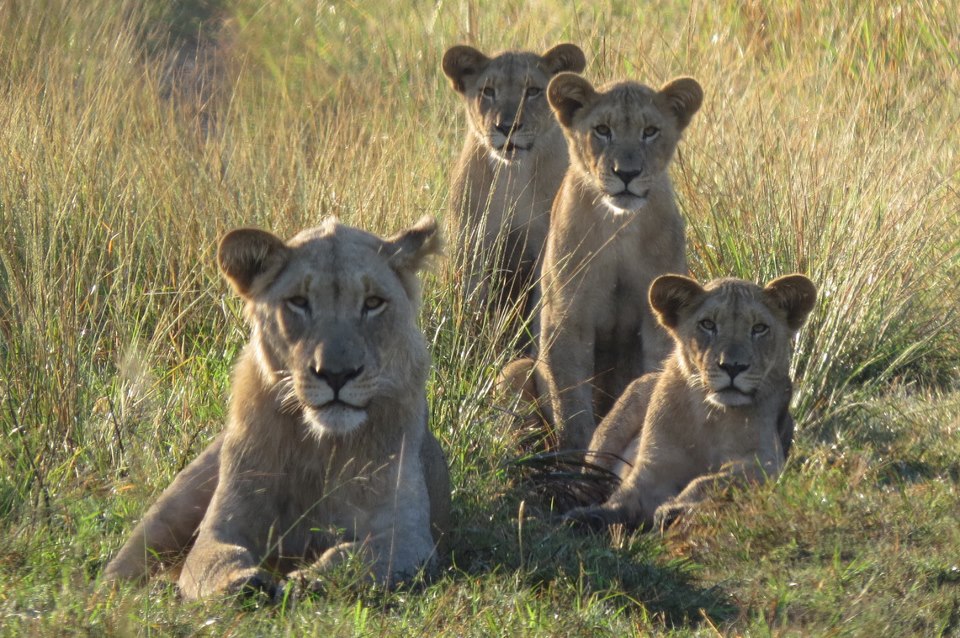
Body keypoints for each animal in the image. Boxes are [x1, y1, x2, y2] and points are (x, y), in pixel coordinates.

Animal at [103, 217, 451, 601]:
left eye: (373, 302)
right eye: (298, 302)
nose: (336, 374)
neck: (322, 447)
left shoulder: (409, 539)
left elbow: (353, 556)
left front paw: (309, 580)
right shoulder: (220, 530)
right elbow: (216, 559)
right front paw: (242, 582)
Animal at [442, 43, 586, 339]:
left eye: (532, 91)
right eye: (488, 91)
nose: (507, 127)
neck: (512, 176)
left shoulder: (545, 247)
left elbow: (541, 308)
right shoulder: (473, 246)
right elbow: (474, 306)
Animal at [501, 73, 703, 450]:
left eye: (650, 131)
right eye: (602, 130)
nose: (627, 173)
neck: (619, 227)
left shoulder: (658, 322)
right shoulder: (567, 317)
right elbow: (571, 403)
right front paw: (575, 451)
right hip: (514, 370)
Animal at [565, 274, 817, 531]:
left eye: (759, 328)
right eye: (708, 324)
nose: (733, 367)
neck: (711, 416)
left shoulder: (765, 462)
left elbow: (710, 481)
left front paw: (674, 509)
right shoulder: (655, 465)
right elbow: (626, 494)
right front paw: (592, 515)